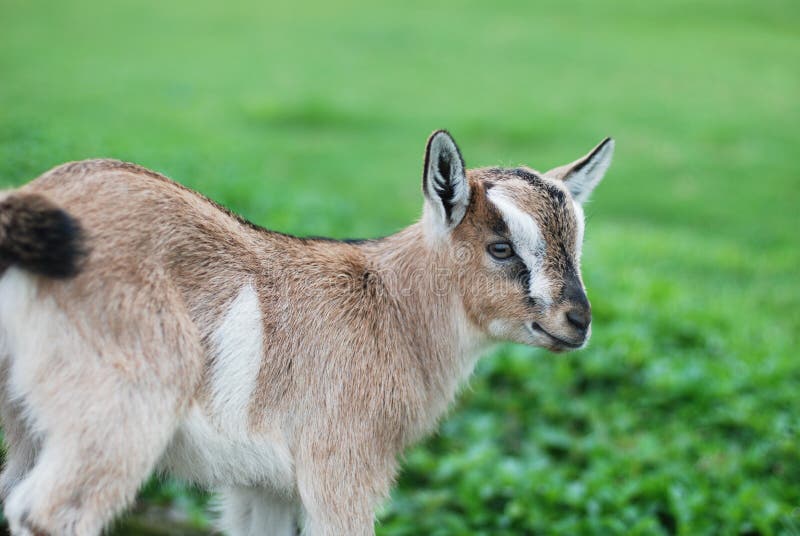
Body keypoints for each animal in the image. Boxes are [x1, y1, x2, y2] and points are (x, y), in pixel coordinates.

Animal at [0, 130, 613, 535]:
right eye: (501, 247)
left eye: (577, 245)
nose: (577, 321)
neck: (391, 307)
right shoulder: (343, 462)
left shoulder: (265, 483)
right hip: (120, 407)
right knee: (51, 513)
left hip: (30, 420)